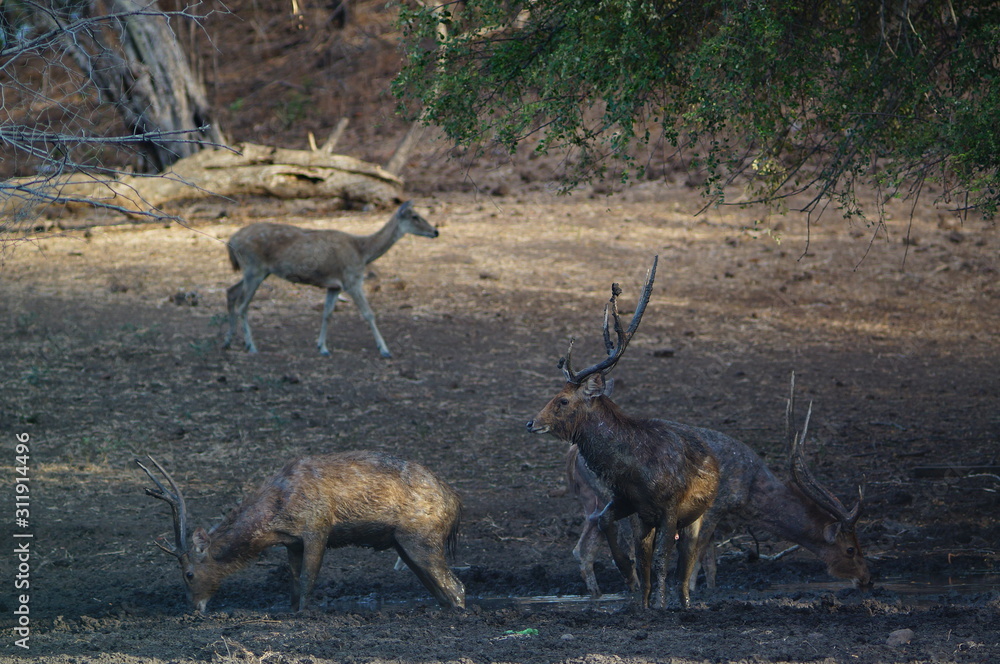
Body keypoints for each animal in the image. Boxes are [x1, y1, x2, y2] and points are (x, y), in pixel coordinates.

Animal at [136, 450, 465, 614]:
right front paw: (290, 609)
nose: (193, 608)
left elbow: (308, 577)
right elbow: (293, 580)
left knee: (456, 587)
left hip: (421, 535)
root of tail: (455, 502)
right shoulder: (292, 542)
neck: (276, 518)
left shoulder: (317, 527)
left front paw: (302, 614)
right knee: (440, 588)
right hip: (402, 542)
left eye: (189, 574)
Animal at [223, 200, 439, 357]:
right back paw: (251, 346)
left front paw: (322, 347)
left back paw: (228, 341)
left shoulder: (334, 286)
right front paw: (385, 349)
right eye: (415, 216)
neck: (362, 252)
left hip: (257, 271)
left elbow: (327, 314)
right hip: (254, 268)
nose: (436, 231)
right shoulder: (352, 279)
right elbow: (369, 313)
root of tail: (231, 240)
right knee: (243, 305)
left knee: (231, 291)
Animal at [526, 256, 725, 609]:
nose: (531, 423)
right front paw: (633, 587)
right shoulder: (631, 504)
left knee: (689, 558)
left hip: (699, 513)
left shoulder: (669, 507)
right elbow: (630, 548)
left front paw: (657, 604)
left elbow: (661, 559)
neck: (635, 471)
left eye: (562, 400)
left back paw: (685, 603)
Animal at [567, 373, 872, 599]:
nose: (866, 579)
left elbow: (711, 560)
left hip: (593, 500)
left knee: (585, 545)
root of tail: (573, 457)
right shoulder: (716, 507)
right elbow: (699, 552)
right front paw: (691, 589)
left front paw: (710, 589)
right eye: (850, 549)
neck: (750, 492)